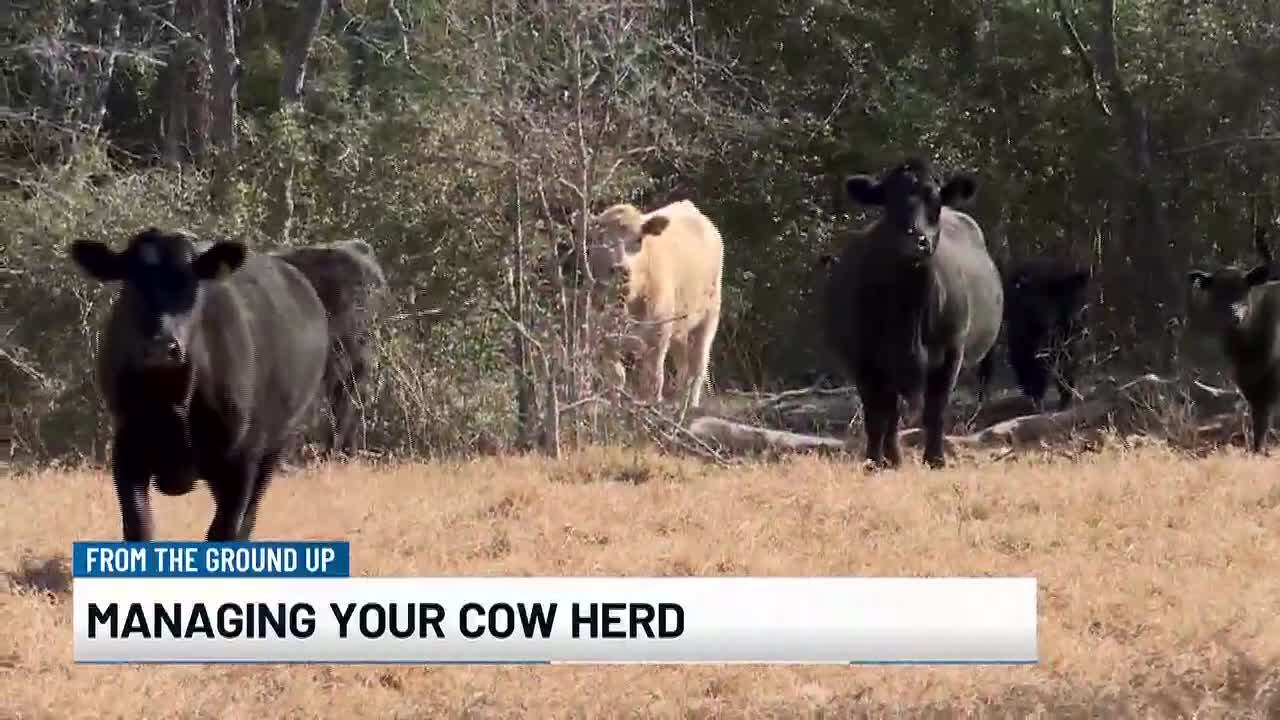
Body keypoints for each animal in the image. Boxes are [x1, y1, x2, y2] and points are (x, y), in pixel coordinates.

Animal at [68, 228, 330, 541]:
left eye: (191, 285)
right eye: (130, 283)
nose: (161, 347)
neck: (171, 397)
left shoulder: (242, 459)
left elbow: (225, 530)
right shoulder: (127, 448)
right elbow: (138, 527)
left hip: (275, 443)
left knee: (249, 516)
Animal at [582, 200, 725, 411]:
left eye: (638, 239)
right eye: (600, 239)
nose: (621, 269)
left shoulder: (659, 334)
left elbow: (653, 379)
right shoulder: (603, 334)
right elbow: (616, 377)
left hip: (709, 316)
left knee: (698, 367)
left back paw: (690, 406)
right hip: (679, 327)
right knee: (683, 368)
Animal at [824, 156, 1003, 469]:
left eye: (935, 201)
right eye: (888, 200)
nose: (916, 240)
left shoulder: (950, 352)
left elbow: (935, 410)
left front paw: (935, 459)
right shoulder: (865, 358)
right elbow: (875, 416)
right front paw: (873, 461)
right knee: (889, 413)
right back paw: (891, 458)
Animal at [977, 259, 1091, 411]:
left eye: (1057, 301)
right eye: (1036, 302)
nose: (1046, 319)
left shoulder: (1069, 342)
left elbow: (1066, 369)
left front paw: (1065, 400)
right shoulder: (1025, 341)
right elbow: (1032, 371)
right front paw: (1037, 399)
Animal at [1186, 258, 1280, 453]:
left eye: (1244, 290)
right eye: (1217, 293)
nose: (1233, 315)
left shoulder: (1271, 381)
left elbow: (1264, 417)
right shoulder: (1248, 383)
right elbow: (1258, 418)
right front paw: (1257, 450)